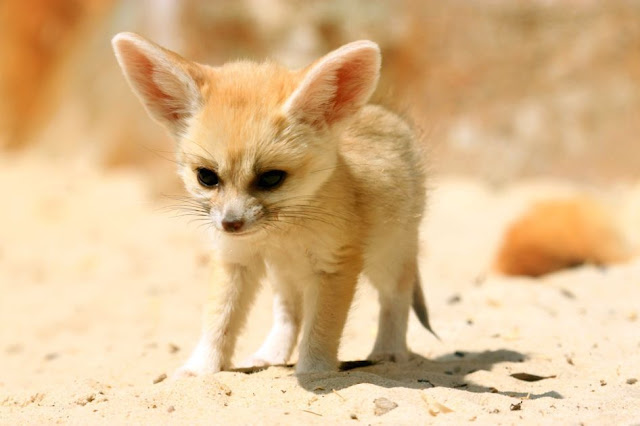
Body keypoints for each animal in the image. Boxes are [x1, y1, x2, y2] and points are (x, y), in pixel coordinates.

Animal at [112, 32, 434, 376]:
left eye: (271, 178)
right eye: (207, 177)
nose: (231, 224)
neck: (280, 236)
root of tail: (383, 113)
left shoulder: (334, 266)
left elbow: (321, 329)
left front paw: (315, 373)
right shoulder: (234, 259)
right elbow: (218, 321)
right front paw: (200, 369)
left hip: (386, 259)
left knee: (395, 297)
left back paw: (389, 351)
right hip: (285, 275)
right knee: (288, 313)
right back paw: (270, 356)